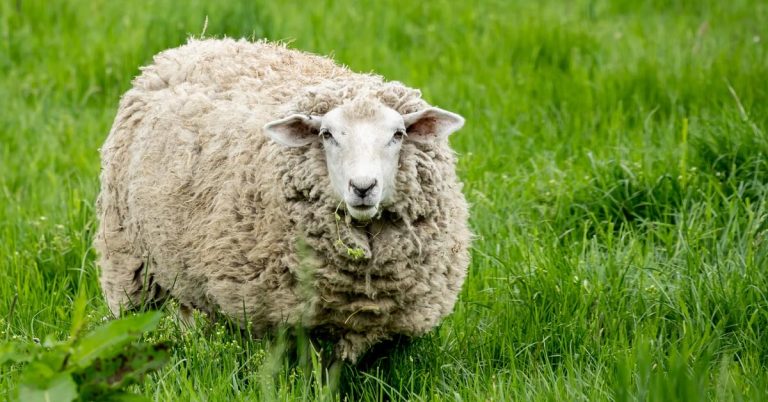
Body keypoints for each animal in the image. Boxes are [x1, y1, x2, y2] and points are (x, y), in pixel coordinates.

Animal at [96, 38, 471, 363]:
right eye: (326, 134)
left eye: (398, 134)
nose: (363, 187)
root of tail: (196, 44)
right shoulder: (269, 318)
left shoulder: (388, 333)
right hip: (129, 263)